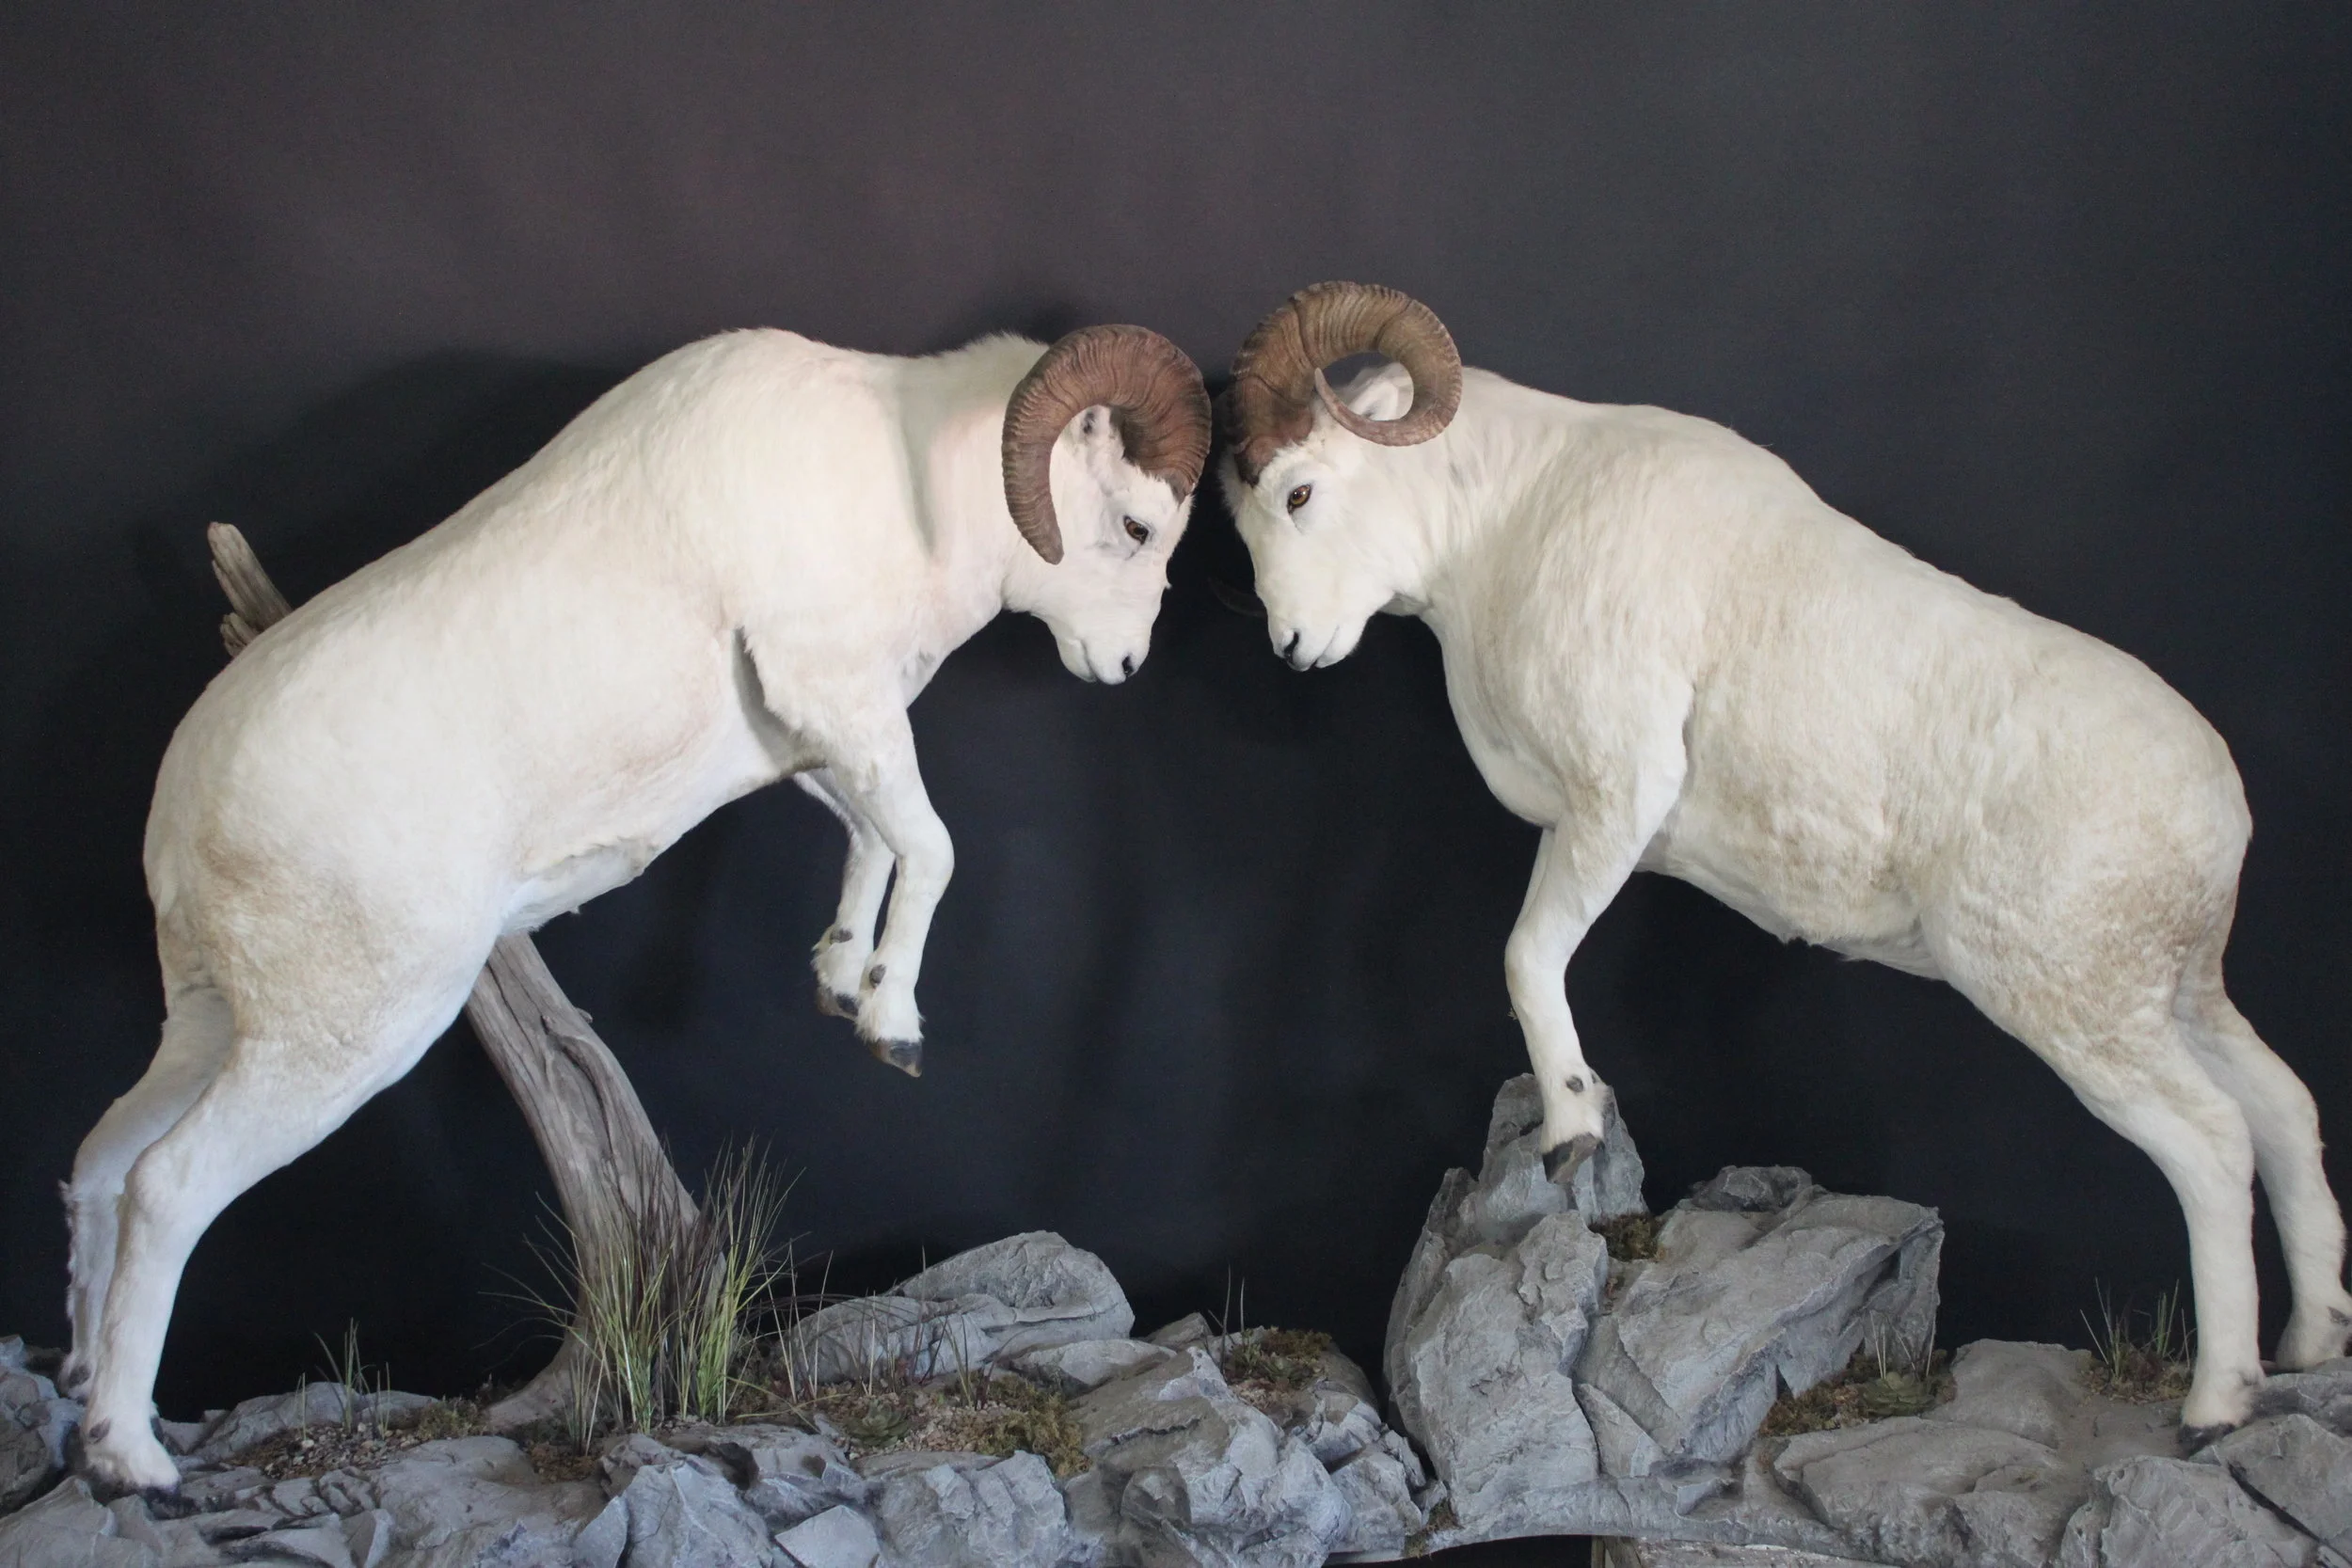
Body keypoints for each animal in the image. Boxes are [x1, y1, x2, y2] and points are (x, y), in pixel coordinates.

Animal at [65, 322, 1211, 1493]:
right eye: (1136, 523)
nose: (1123, 662)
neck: (898, 484)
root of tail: (182, 811)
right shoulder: (843, 700)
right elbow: (929, 845)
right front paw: (894, 1029)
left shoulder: (818, 741)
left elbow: (867, 836)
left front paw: (841, 981)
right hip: (337, 1041)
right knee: (169, 1183)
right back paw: (133, 1461)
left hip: (212, 1021)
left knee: (101, 1166)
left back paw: (85, 1401)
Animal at [1217, 280, 2350, 1438]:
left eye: (1300, 492)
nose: (1292, 646)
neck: (1507, 518)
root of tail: (2217, 812)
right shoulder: (1575, 829)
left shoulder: (1615, 800)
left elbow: (1526, 958)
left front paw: (1571, 1133)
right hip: (2174, 994)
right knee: (2281, 1109)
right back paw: (2312, 1342)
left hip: (2080, 1010)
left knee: (2212, 1143)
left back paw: (2218, 1400)